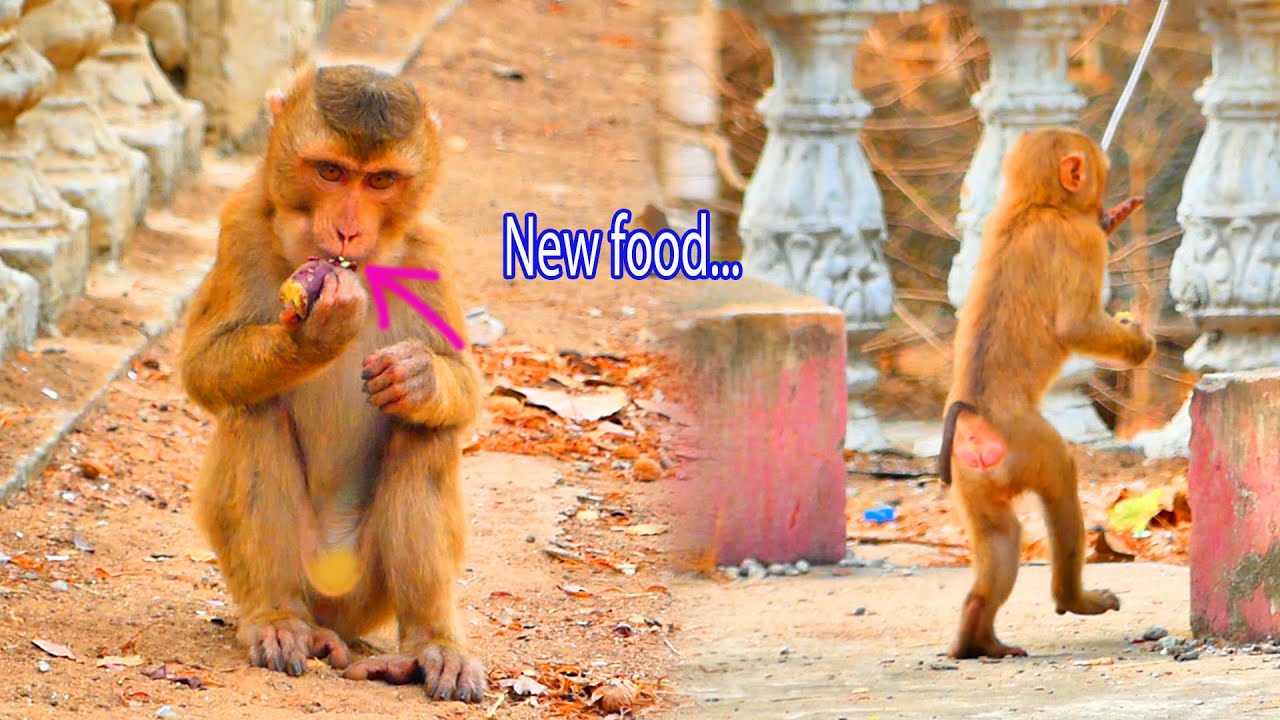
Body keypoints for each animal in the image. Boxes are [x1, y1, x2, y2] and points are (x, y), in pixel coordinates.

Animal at [178, 64, 487, 702]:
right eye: (331, 172)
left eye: (381, 181)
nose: (345, 232)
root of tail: (331, 610)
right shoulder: (241, 223)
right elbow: (203, 367)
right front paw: (314, 337)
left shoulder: (432, 248)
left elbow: (463, 388)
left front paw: (417, 376)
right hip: (296, 575)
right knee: (254, 411)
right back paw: (278, 620)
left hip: (368, 592)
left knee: (426, 434)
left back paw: (429, 647)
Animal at [936, 128, 1155, 660]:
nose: (1101, 202)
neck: (1035, 204)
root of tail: (972, 417)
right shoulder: (1080, 240)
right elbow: (1076, 324)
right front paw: (1139, 344)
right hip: (1027, 444)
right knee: (1060, 487)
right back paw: (1073, 599)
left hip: (969, 477)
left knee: (1001, 537)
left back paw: (977, 634)